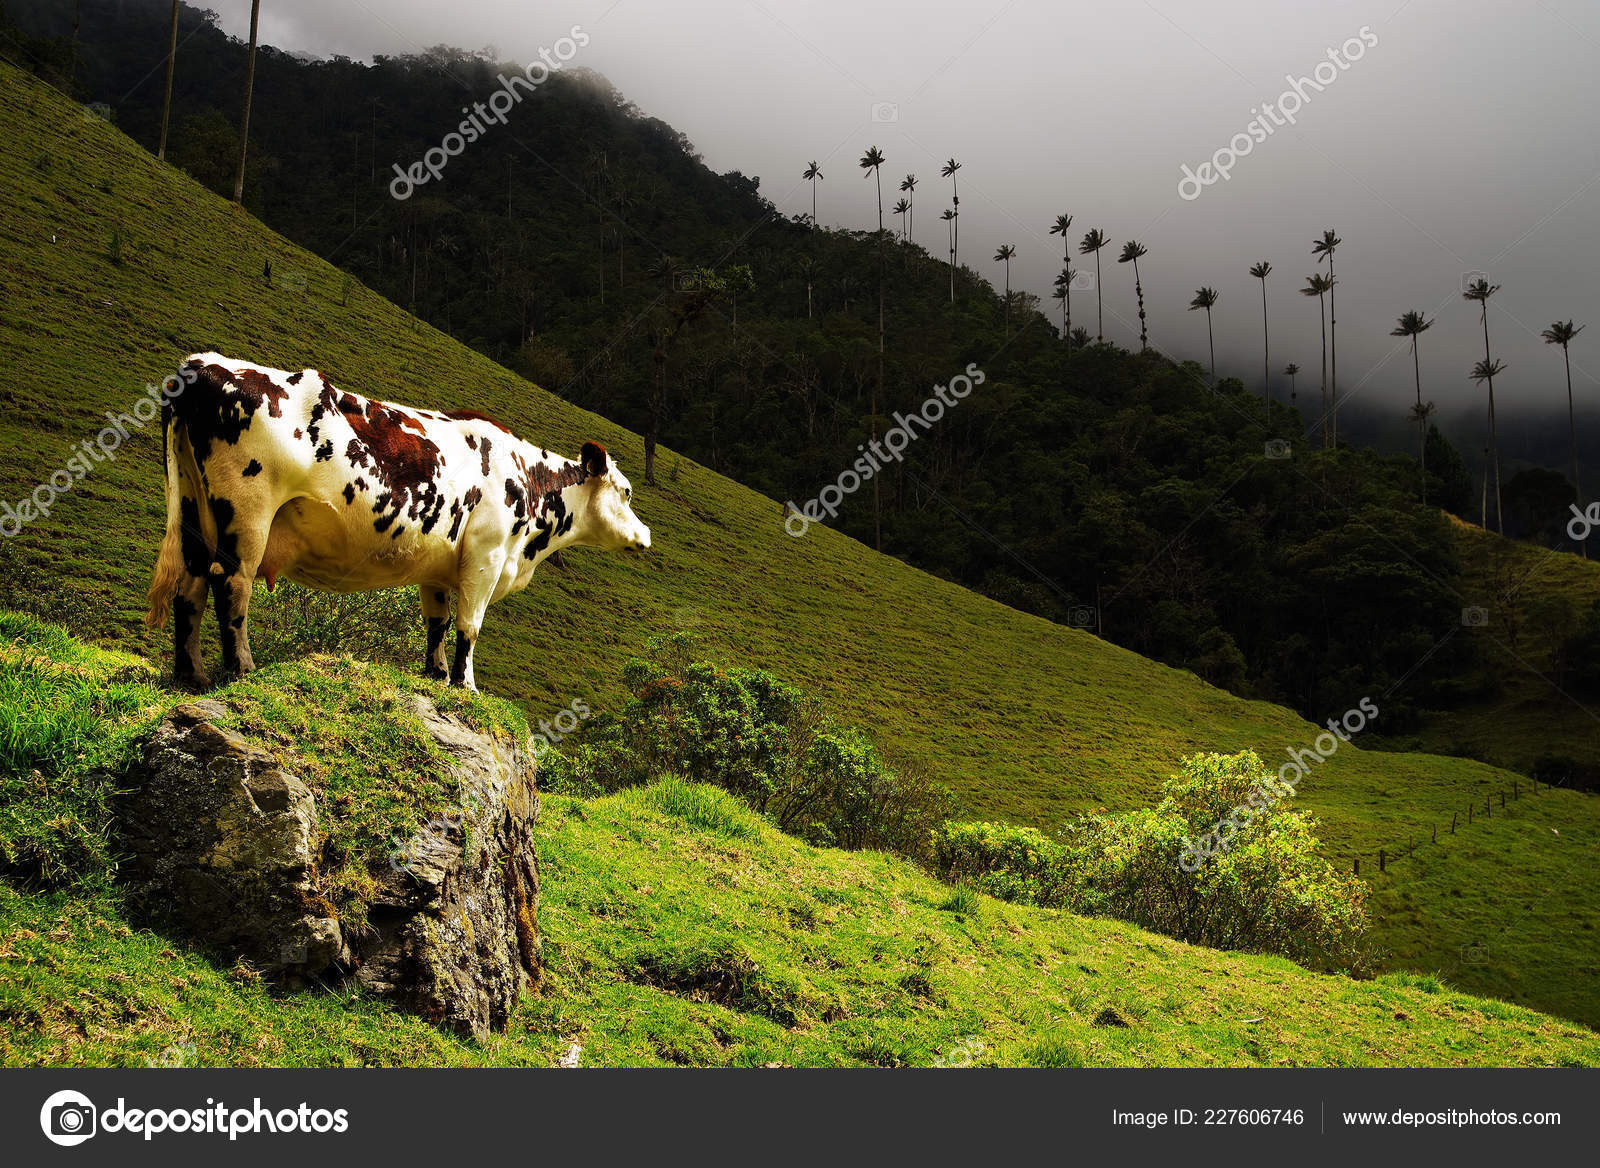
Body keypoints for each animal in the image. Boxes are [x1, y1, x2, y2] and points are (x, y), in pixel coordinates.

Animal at [144, 352, 651, 692]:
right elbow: (469, 626)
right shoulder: (486, 555)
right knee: (231, 582)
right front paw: (465, 686)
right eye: (626, 491)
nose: (645, 535)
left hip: (193, 510)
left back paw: (191, 675)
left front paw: (436, 674)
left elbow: (437, 623)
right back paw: (241, 668)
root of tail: (203, 364)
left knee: (190, 586)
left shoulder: (441, 566)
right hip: (246, 514)